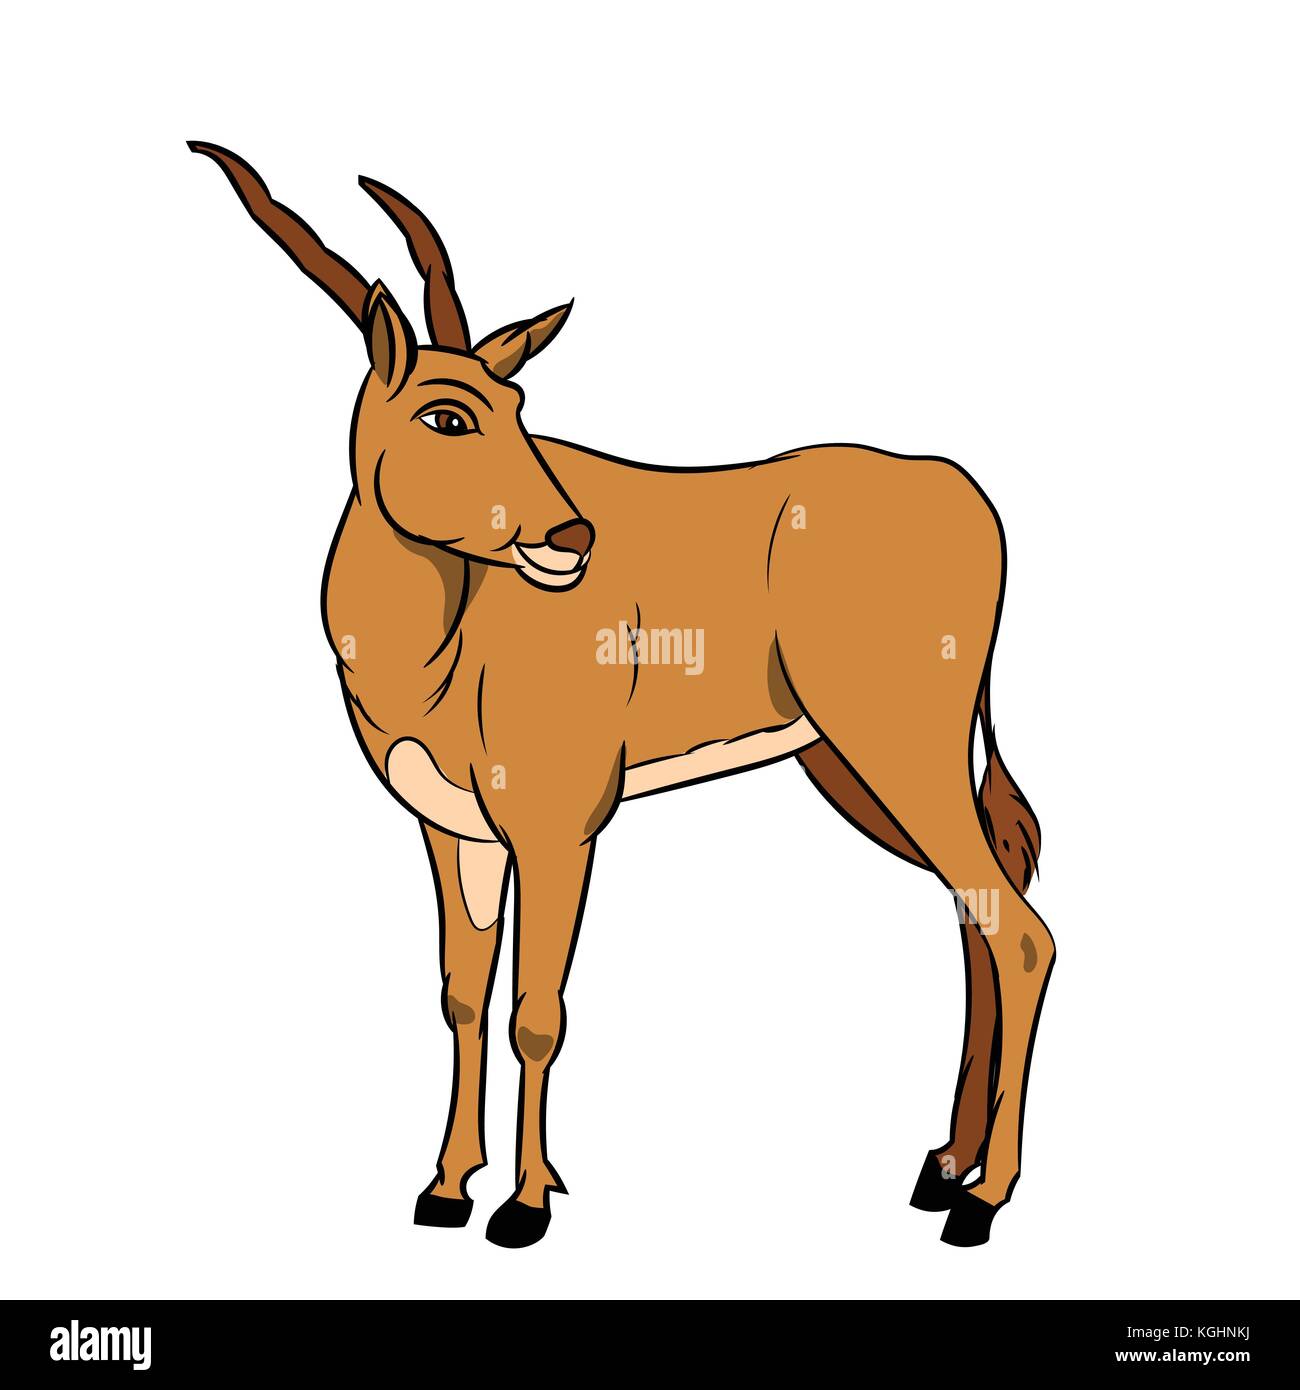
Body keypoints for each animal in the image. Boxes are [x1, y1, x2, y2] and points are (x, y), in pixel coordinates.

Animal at [191, 142, 1055, 1249]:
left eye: (518, 409)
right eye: (447, 411)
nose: (569, 535)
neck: (445, 644)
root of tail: (964, 492)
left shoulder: (560, 827)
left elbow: (536, 1010)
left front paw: (522, 1205)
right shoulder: (457, 832)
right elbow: (462, 995)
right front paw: (444, 1187)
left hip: (897, 750)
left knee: (1018, 933)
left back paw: (981, 1202)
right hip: (852, 767)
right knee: (977, 913)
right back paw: (942, 1167)